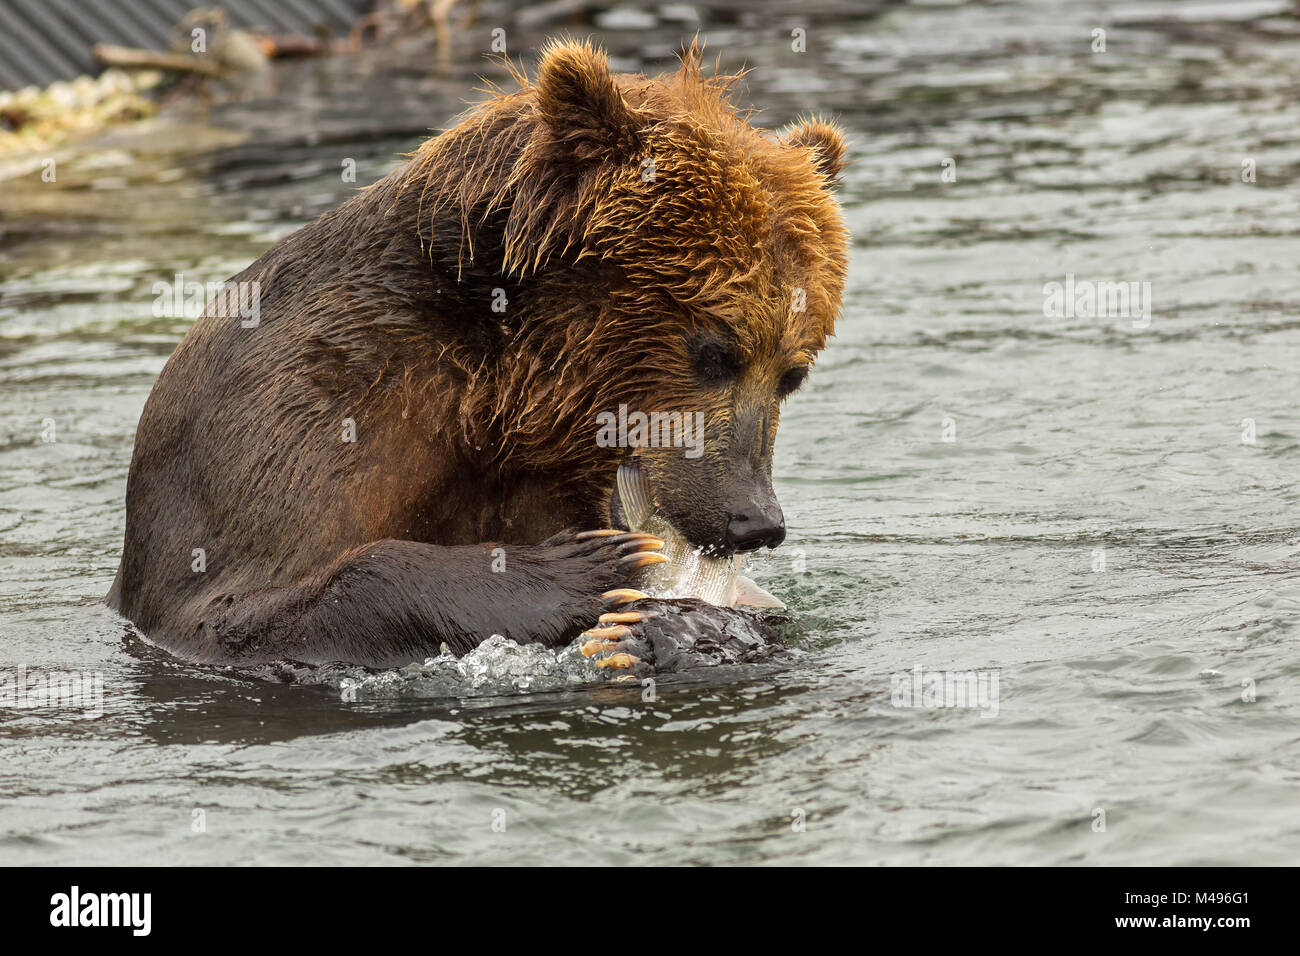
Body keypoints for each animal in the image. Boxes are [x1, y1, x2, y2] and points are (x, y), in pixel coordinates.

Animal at [106, 39, 849, 673]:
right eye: (717, 350)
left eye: (791, 373)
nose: (756, 520)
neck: (503, 386)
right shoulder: (297, 408)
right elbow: (236, 602)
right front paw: (591, 567)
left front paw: (682, 623)